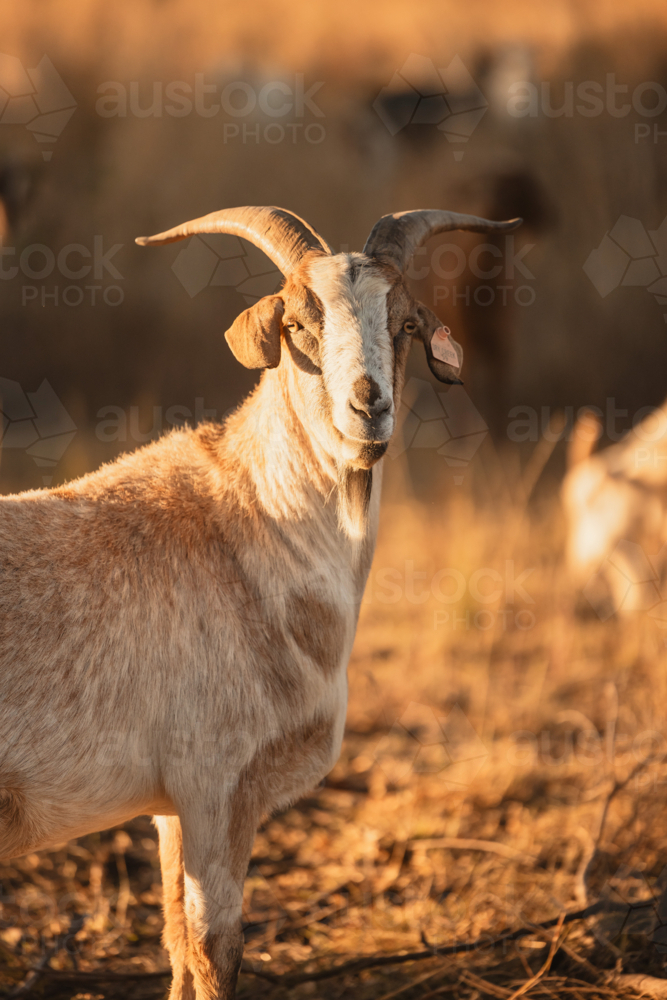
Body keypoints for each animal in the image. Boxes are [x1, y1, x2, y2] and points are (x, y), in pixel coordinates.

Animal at [0, 205, 519, 999]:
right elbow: (215, 949)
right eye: (297, 325)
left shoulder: (171, 807)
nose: (368, 406)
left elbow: (177, 942)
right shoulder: (217, 782)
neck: (246, 521)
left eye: (403, 323)